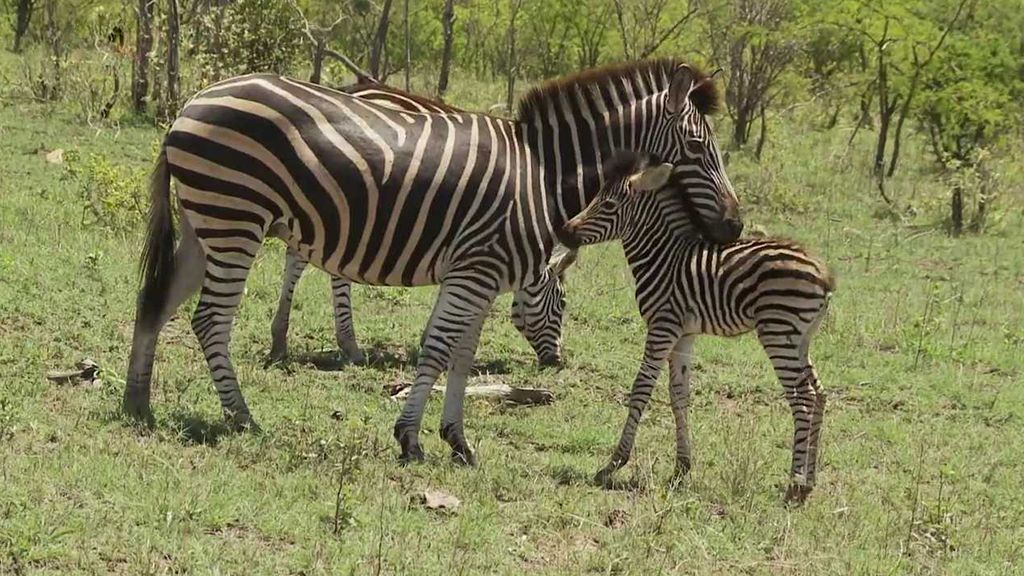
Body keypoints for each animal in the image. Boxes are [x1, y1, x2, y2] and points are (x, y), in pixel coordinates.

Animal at [559, 151, 834, 503]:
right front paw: (681, 468)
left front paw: (614, 463)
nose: (564, 232)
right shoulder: (684, 333)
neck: (663, 256)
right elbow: (679, 395)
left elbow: (641, 388)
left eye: (607, 205)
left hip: (777, 332)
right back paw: (809, 481)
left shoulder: (662, 325)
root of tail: (823, 274)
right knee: (819, 393)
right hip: (800, 338)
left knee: (803, 398)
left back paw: (795, 486)